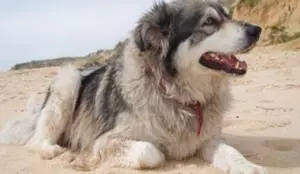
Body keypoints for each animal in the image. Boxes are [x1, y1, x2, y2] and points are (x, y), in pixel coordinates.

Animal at [0, 0, 268, 173]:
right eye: (209, 22)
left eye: (229, 16)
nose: (257, 30)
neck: (177, 94)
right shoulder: (105, 140)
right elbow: (152, 152)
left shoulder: (208, 139)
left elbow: (231, 152)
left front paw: (251, 167)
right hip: (67, 82)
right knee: (35, 140)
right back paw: (51, 150)